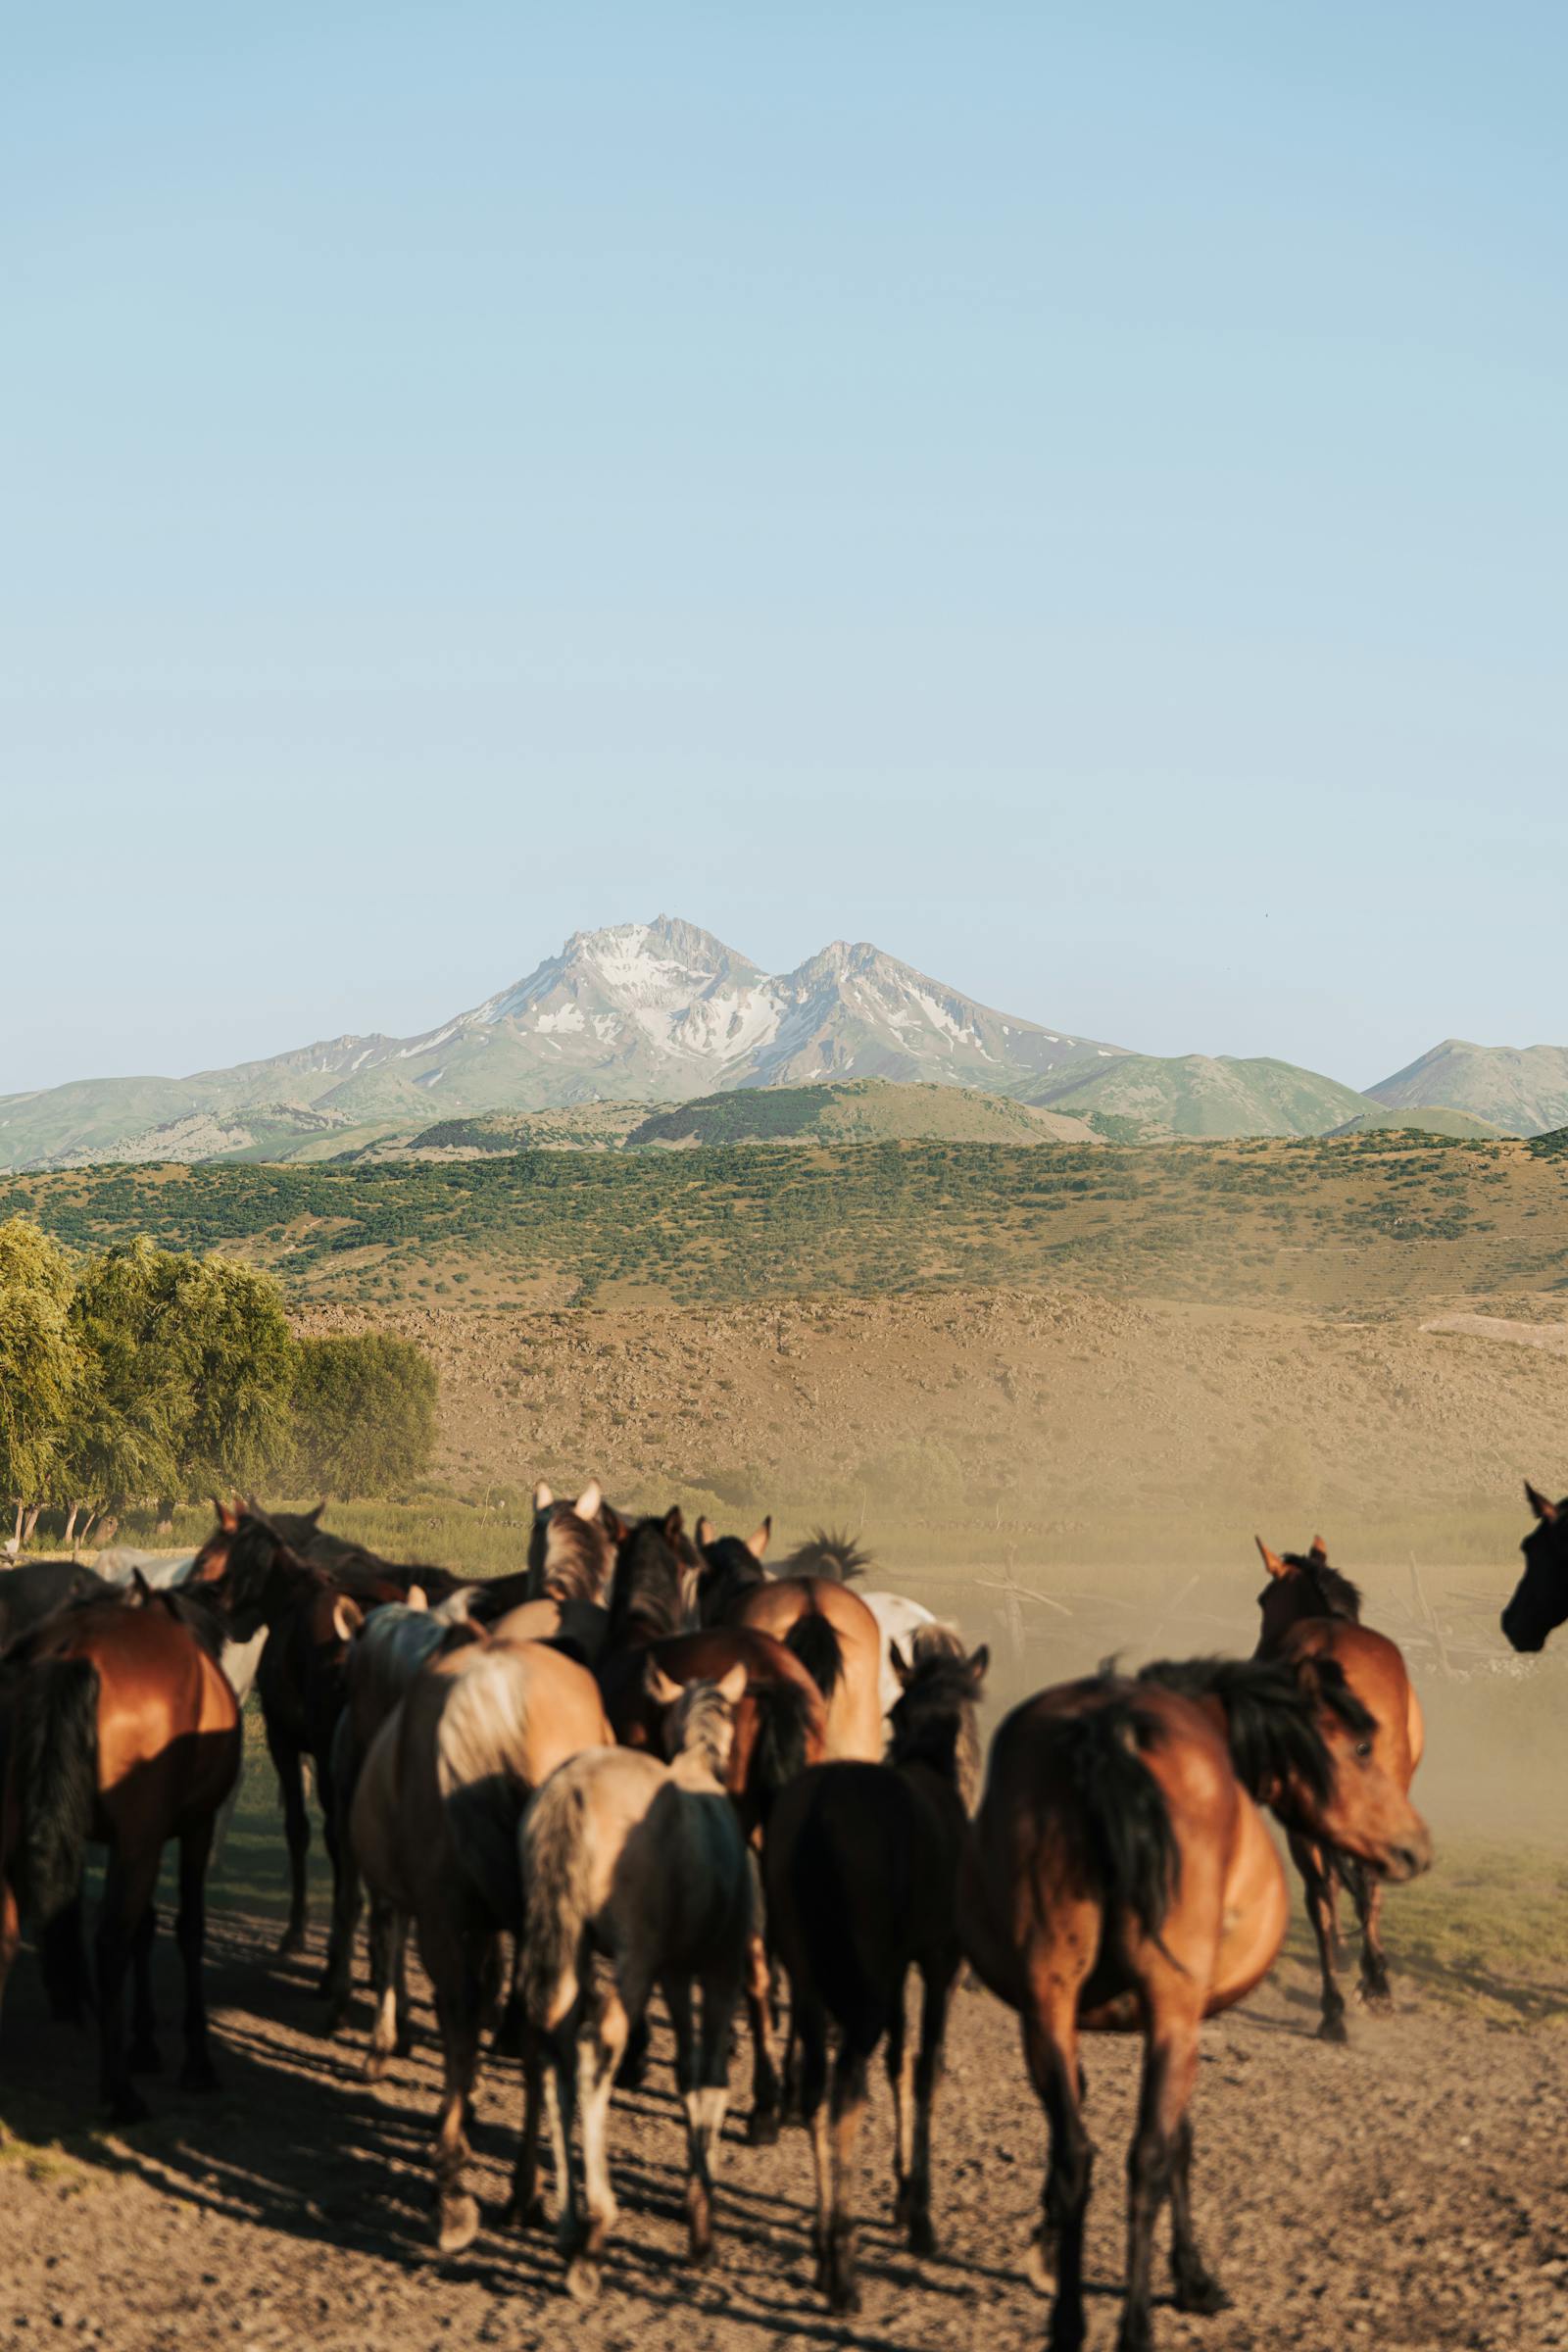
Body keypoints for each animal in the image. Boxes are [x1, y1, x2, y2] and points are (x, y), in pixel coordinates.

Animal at [0, 1553, 272, 2121]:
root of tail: (72, 1652)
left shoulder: (129, 1839)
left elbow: (146, 1925)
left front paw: (144, 2041)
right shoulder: (187, 1828)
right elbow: (186, 1929)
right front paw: (194, 2060)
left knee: (8, 1934)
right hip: (144, 1840)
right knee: (109, 1942)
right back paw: (119, 2091)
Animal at [519, 1666, 754, 2300]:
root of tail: (571, 1792)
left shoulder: (674, 1973)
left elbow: (688, 2076)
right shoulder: (718, 1972)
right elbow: (711, 2080)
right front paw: (703, 2226)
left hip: (572, 1949)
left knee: (553, 2049)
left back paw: (568, 2223)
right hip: (632, 1964)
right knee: (594, 2054)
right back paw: (596, 2231)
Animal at [765, 1628, 988, 2311]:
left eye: (898, 1710)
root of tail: (816, 1816)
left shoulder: (892, 1968)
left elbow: (896, 2063)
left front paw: (901, 2190)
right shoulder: (939, 1963)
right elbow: (924, 2068)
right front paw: (919, 2213)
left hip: (810, 1978)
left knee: (815, 2091)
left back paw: (823, 2247)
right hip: (856, 1989)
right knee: (842, 2098)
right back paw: (840, 2267)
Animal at [961, 1656, 1430, 2352]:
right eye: (1361, 1747)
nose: (1416, 1847)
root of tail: (1108, 1731)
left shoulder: (1060, 2020)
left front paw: (1045, 2252)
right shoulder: (1186, 2020)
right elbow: (1179, 2144)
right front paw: (1193, 2280)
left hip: (1049, 2006)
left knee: (1076, 2157)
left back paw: (1069, 2322)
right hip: (1168, 2015)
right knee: (1146, 2158)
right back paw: (1137, 2327)